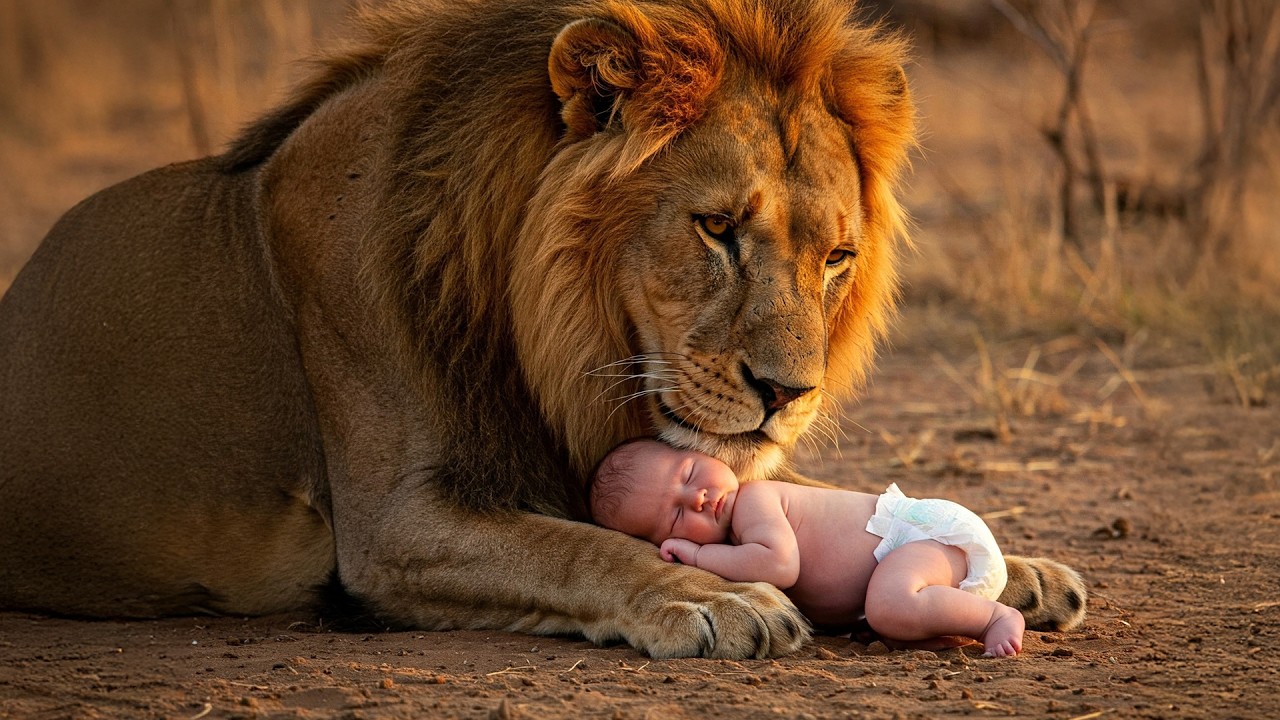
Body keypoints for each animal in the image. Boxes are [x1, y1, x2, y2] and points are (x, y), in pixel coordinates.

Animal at [0, 0, 1085, 658]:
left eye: (835, 258)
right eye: (716, 228)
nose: (788, 395)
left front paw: (1019, 567)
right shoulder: (395, 527)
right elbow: (578, 549)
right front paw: (709, 599)